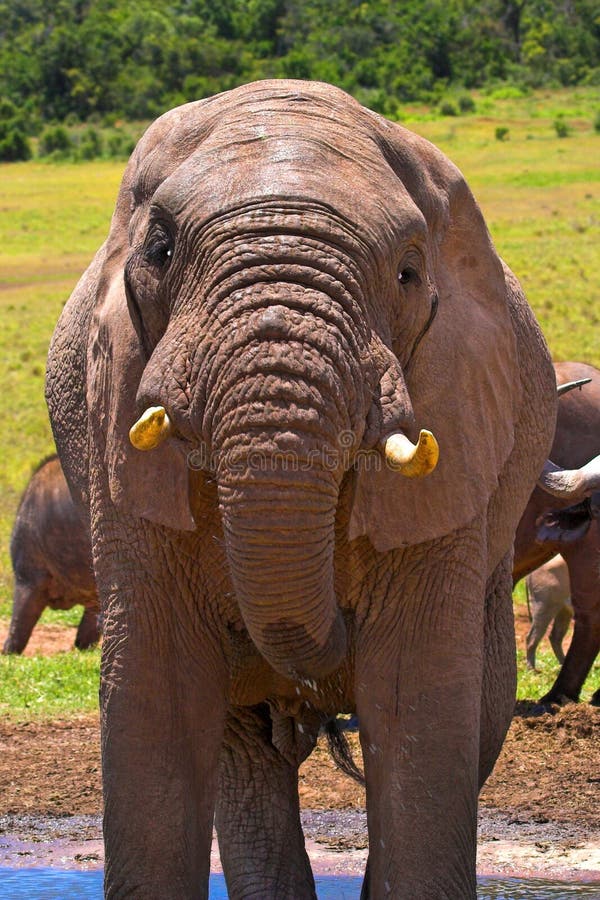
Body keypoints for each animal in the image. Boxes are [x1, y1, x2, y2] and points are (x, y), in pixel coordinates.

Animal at [45, 80, 556, 899]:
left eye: (409, 273)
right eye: (160, 251)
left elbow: (418, 702)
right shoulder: (112, 420)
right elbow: (156, 699)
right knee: (244, 760)